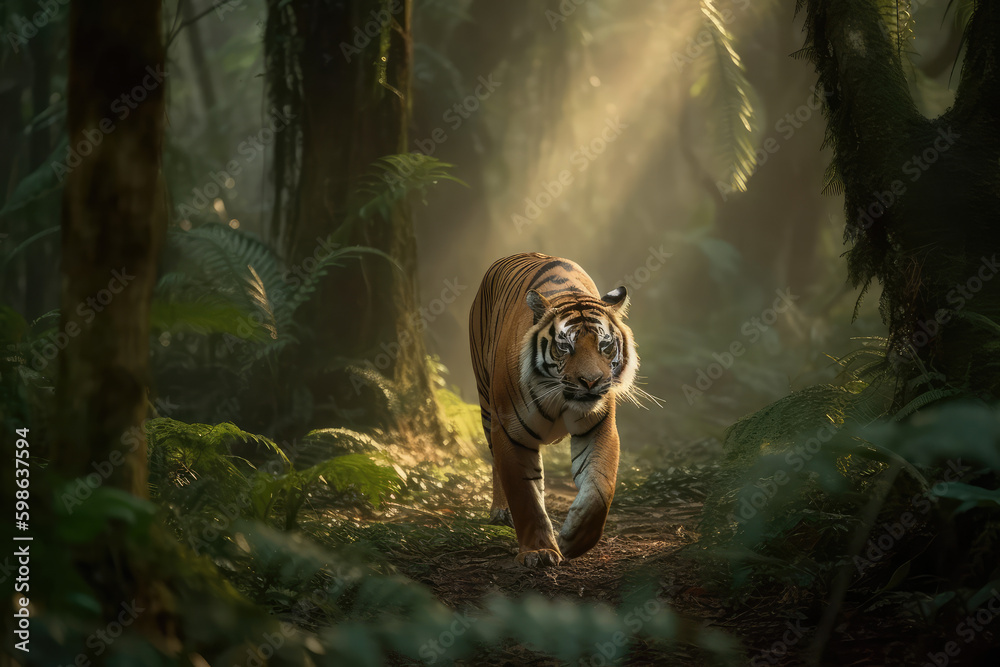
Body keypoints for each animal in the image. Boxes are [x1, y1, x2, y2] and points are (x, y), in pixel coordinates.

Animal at [469, 253, 639, 567]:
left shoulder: (599, 427)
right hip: (486, 403)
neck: (561, 398)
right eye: (565, 346)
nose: (591, 381)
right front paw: (538, 551)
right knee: (495, 462)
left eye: (605, 345)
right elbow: (525, 495)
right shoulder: (510, 431)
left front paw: (574, 539)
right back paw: (501, 512)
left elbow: (600, 488)